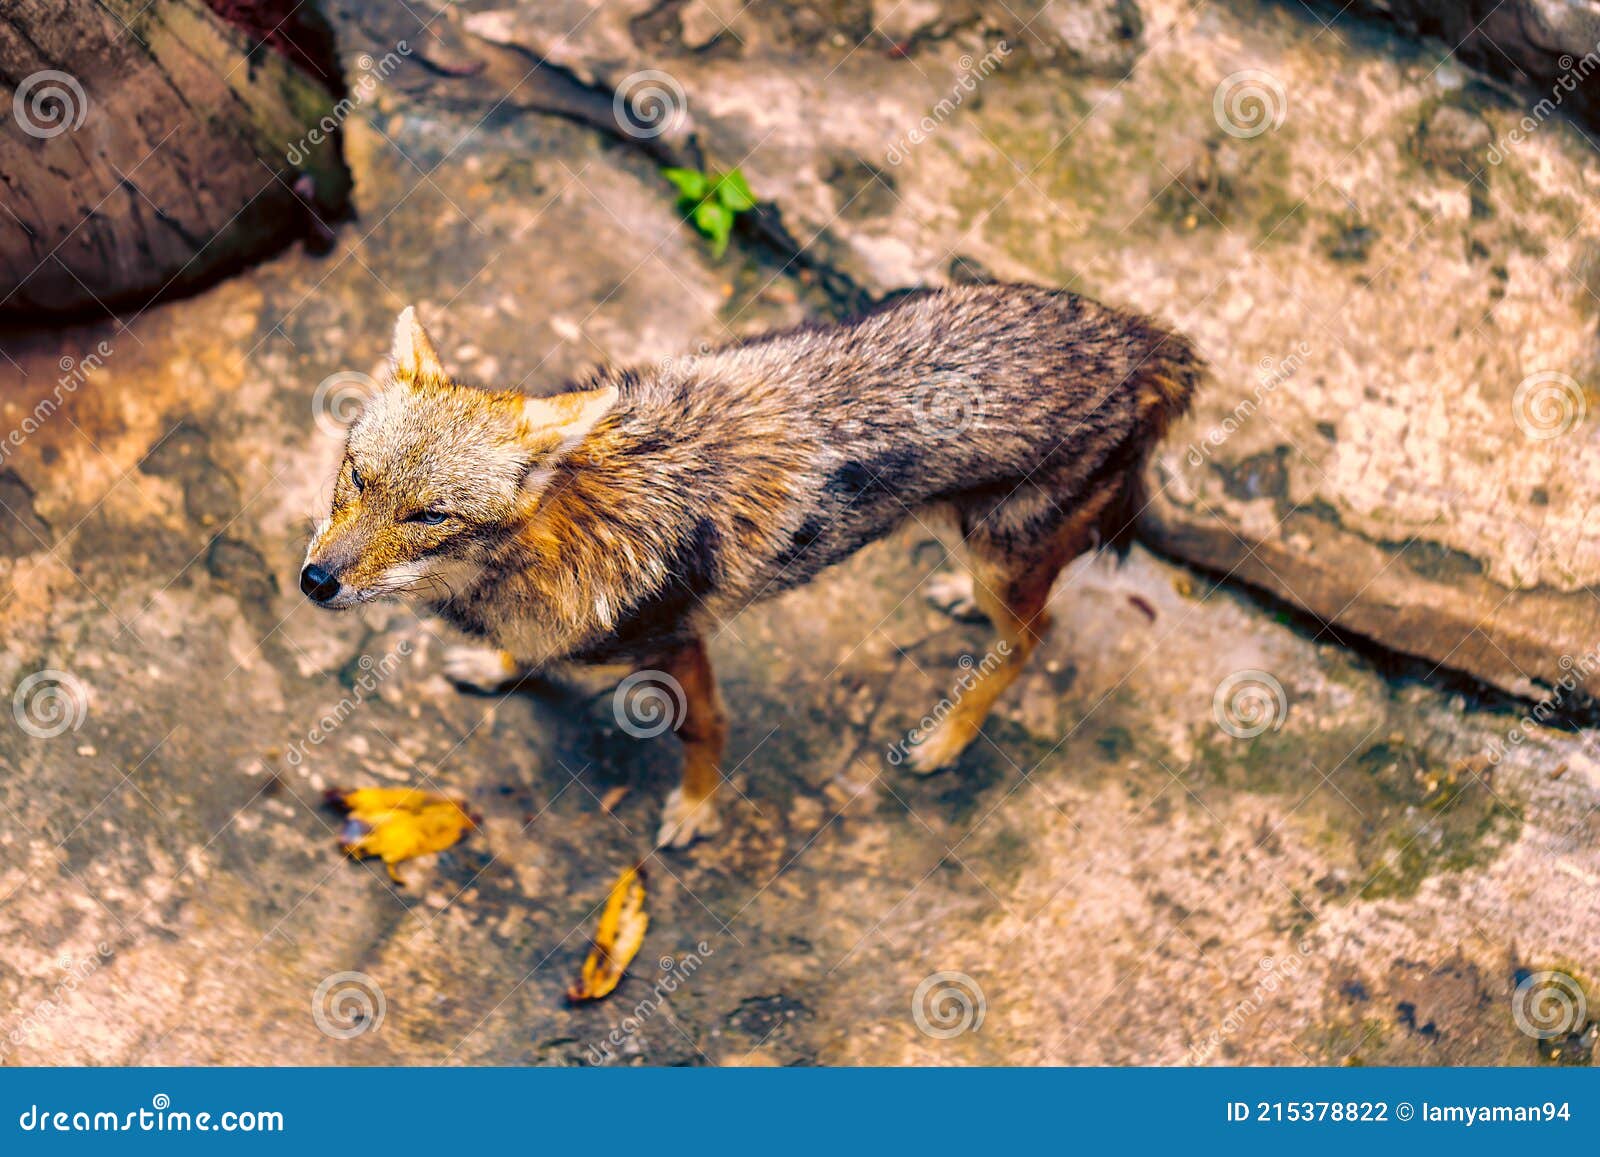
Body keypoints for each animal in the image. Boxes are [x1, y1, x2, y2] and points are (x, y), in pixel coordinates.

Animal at [301, 283, 1203, 848]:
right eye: (358, 477)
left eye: (430, 516)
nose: (315, 581)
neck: (571, 535)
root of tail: (1143, 339)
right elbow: (530, 653)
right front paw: (497, 667)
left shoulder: (680, 646)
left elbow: (705, 731)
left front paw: (696, 813)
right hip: (977, 545)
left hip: (1002, 563)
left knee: (1032, 639)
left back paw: (949, 738)